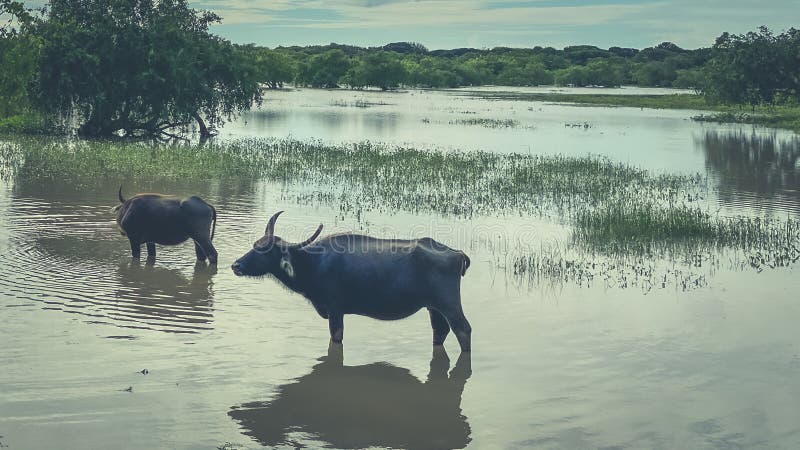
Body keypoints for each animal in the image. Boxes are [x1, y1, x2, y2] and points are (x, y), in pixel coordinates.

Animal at [231, 211, 472, 352]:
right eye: (254, 245)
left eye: (263, 249)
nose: (236, 265)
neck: (313, 262)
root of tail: (457, 254)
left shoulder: (335, 310)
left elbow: (336, 337)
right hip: (433, 308)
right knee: (440, 331)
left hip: (449, 305)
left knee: (463, 330)